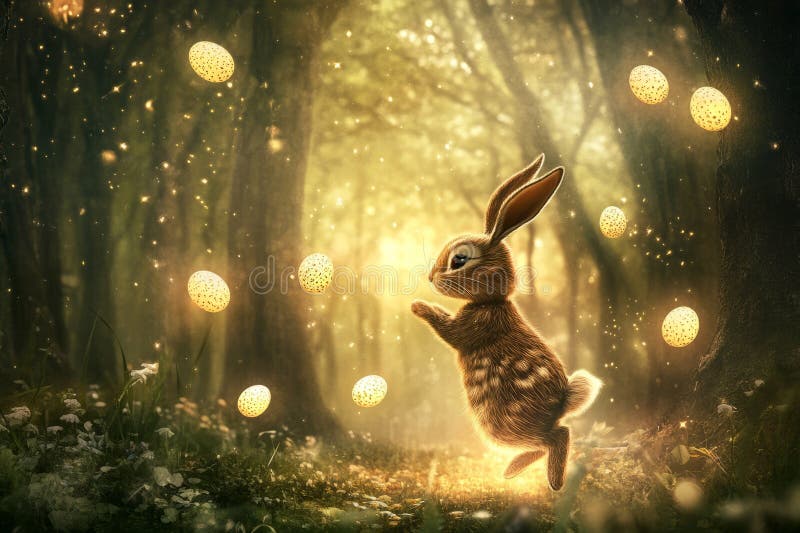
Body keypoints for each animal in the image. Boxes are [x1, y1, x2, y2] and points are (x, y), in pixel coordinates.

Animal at [411, 154, 602, 490]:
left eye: (459, 259)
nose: (431, 277)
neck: (493, 300)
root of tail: (561, 405)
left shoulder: (473, 327)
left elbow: (447, 329)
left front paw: (419, 307)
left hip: (504, 425)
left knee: (557, 436)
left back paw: (549, 481)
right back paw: (513, 471)